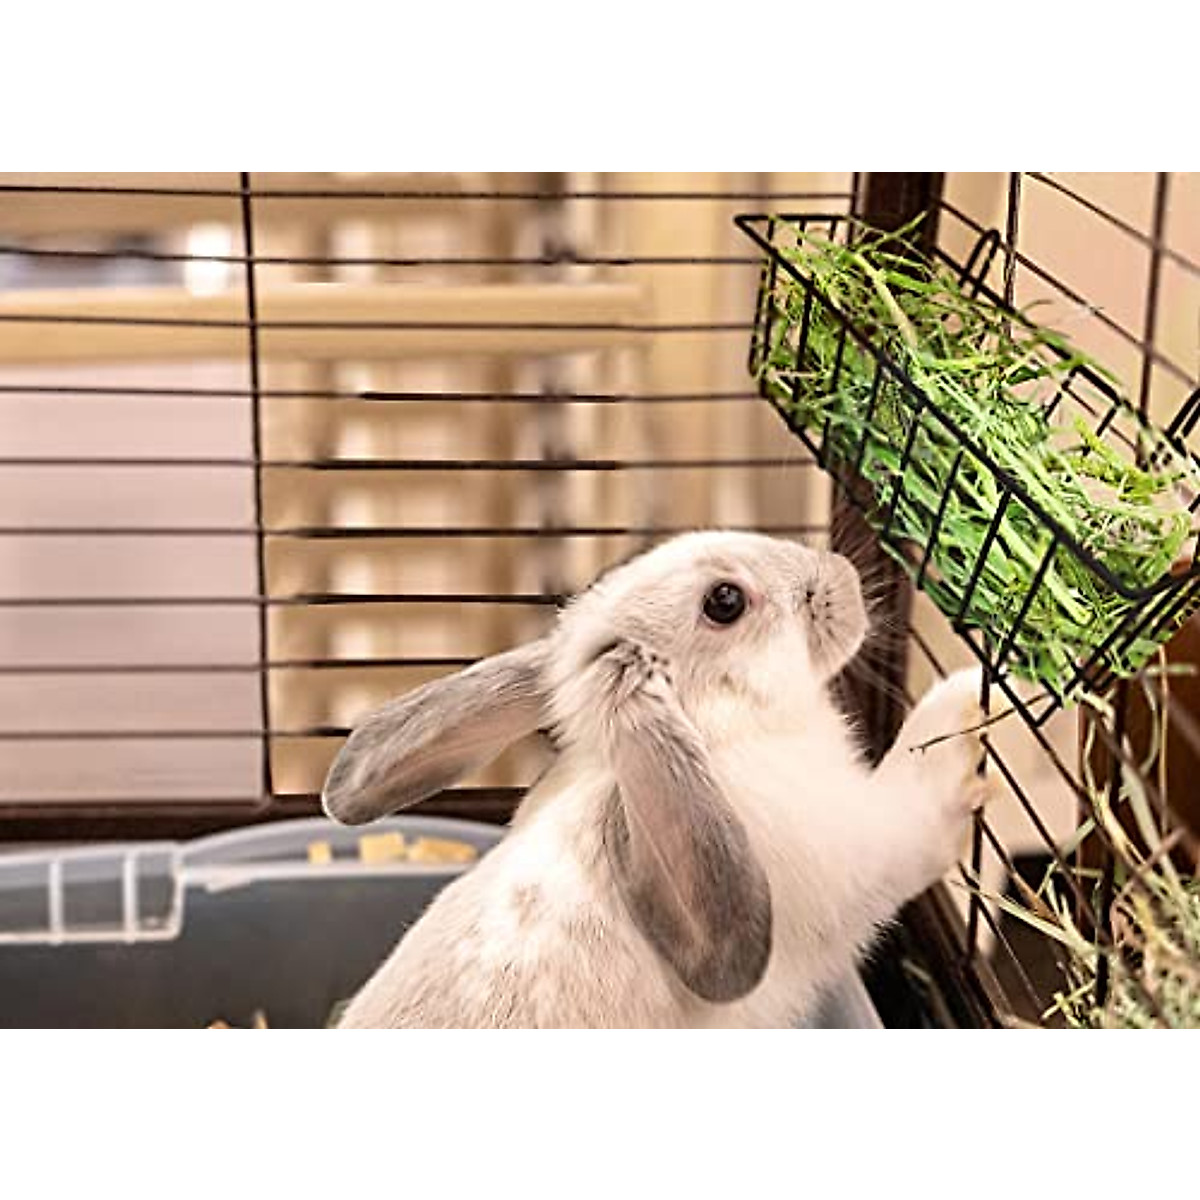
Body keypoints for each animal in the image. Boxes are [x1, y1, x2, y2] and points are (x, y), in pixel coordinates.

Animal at [322, 530, 990, 1028]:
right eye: (725, 601)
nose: (839, 571)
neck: (718, 733)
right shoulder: (870, 848)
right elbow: (917, 793)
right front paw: (964, 698)